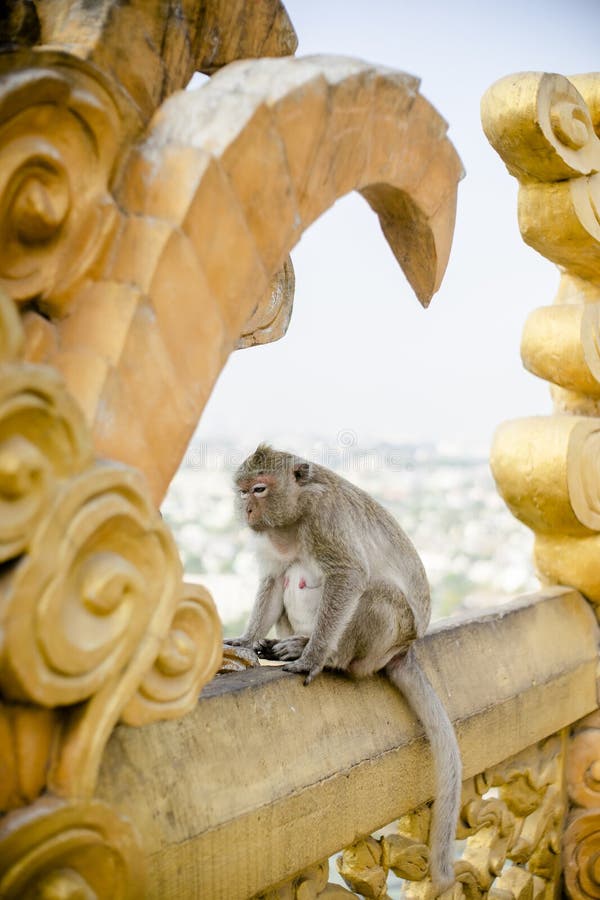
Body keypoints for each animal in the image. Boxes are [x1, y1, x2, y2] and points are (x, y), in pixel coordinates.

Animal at [226, 444, 461, 893]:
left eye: (260, 489)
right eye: (243, 490)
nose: (246, 509)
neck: (294, 518)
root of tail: (404, 650)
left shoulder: (326, 518)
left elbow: (348, 575)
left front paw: (313, 658)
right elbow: (274, 577)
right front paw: (247, 640)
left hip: (386, 637)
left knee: (372, 592)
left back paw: (320, 654)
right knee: (293, 577)